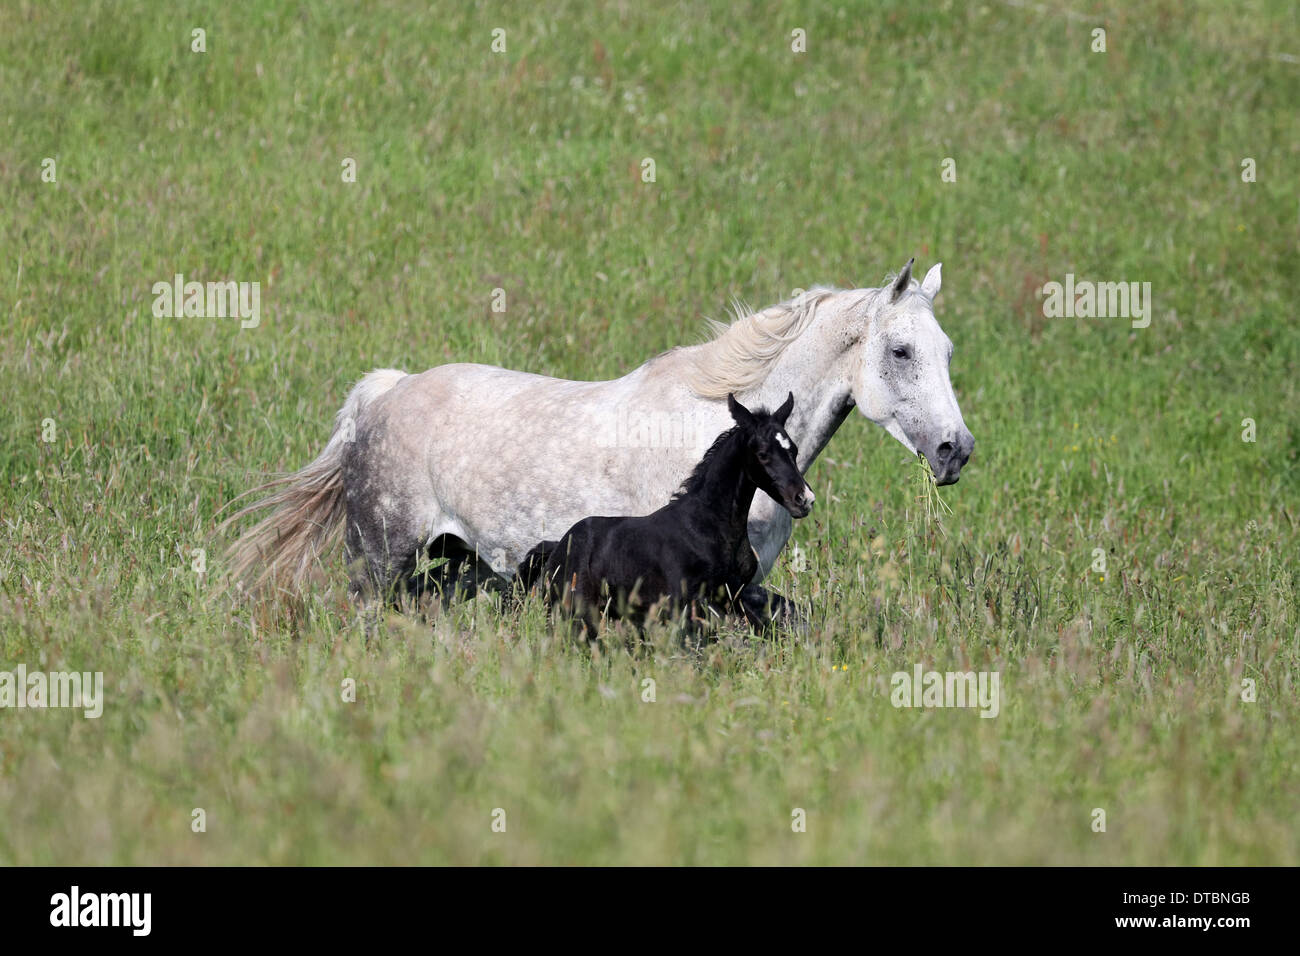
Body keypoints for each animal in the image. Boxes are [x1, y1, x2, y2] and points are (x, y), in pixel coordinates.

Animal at [517, 392, 813, 637]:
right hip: (574, 610)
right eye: (762, 454)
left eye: (794, 450)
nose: (804, 499)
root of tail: (557, 547)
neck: (707, 526)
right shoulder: (687, 607)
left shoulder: (733, 597)